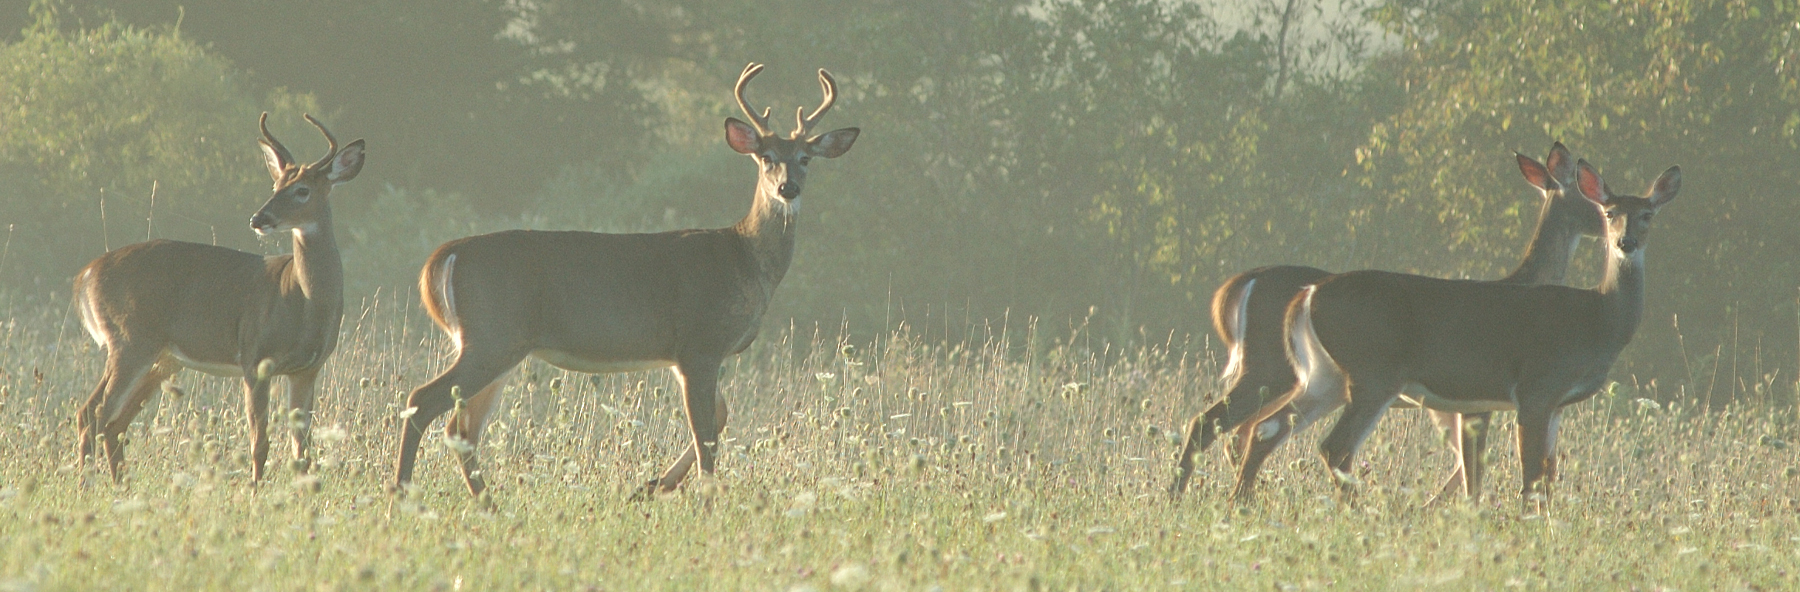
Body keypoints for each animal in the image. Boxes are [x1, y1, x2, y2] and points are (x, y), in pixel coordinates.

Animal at [74, 113, 365, 483]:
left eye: (302, 190)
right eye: (274, 187)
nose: (259, 219)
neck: (305, 301)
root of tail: (85, 275)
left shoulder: (307, 370)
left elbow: (303, 449)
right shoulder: (255, 357)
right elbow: (260, 442)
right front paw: (255, 490)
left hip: (161, 358)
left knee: (112, 424)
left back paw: (119, 486)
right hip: (129, 340)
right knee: (92, 414)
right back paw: (86, 485)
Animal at [391, 63, 859, 498]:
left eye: (805, 158)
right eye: (766, 158)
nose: (787, 188)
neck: (743, 257)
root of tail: (446, 255)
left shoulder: (687, 354)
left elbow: (720, 418)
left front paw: (652, 485)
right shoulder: (699, 343)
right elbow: (706, 435)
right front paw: (702, 500)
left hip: (498, 346)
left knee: (461, 427)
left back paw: (487, 504)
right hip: (492, 335)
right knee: (423, 401)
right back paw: (402, 495)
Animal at [1169, 143, 1603, 501]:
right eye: (1588, 191)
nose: (1608, 220)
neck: (1523, 280)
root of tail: (1239, 285)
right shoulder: (1476, 400)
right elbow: (1471, 469)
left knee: (1241, 432)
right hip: (1274, 368)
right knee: (1220, 427)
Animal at [1263, 159, 1678, 514]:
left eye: (1647, 215)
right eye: (1608, 212)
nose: (1625, 242)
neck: (1598, 317)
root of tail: (1308, 294)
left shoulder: (1550, 404)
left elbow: (1537, 478)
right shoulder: (1532, 390)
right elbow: (1524, 480)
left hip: (1325, 377)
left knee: (1269, 427)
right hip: (1373, 373)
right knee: (1334, 447)